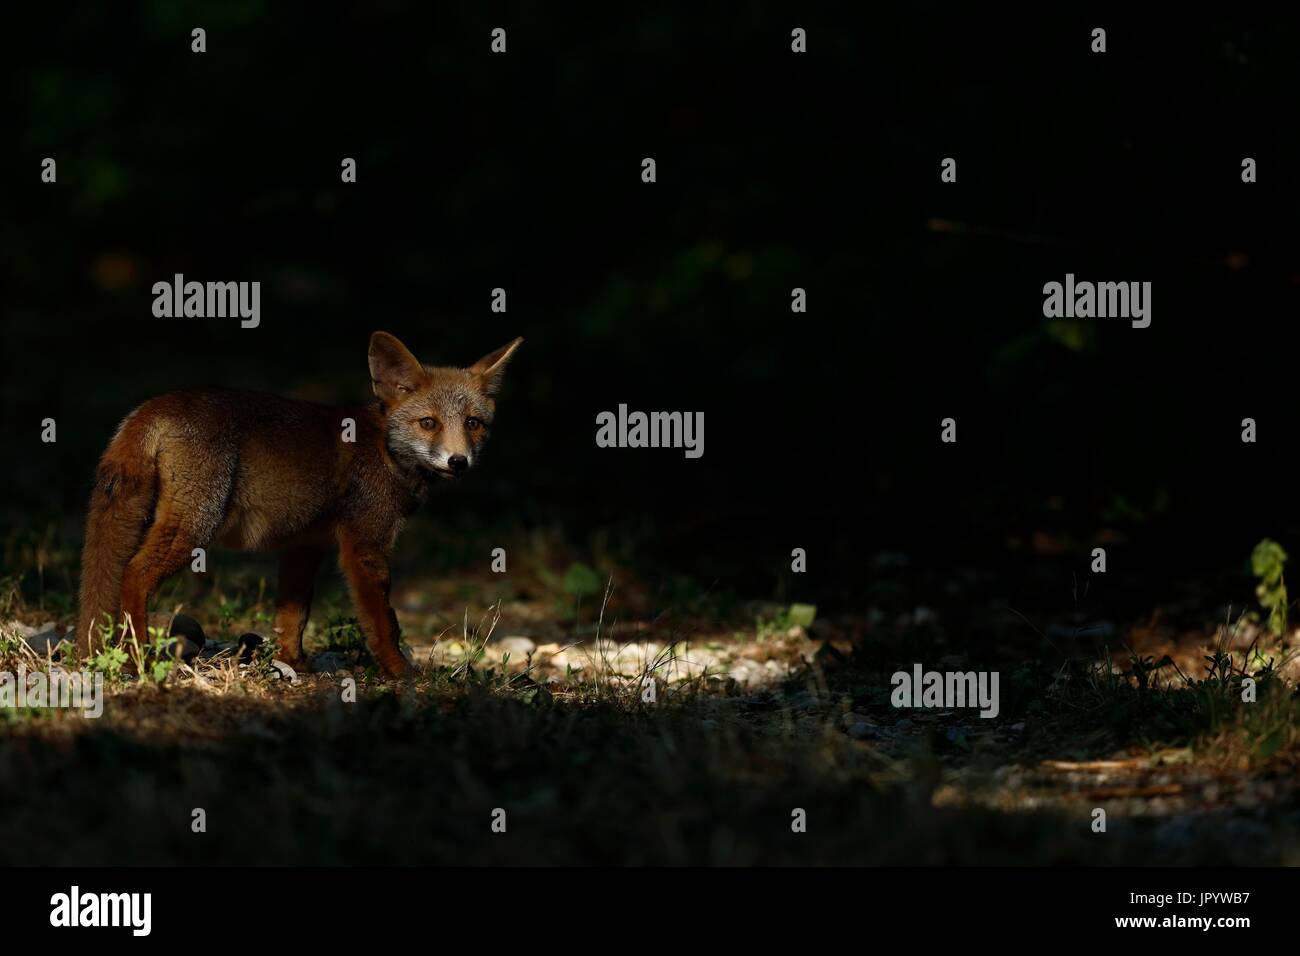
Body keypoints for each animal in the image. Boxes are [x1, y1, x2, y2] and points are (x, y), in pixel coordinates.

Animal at [75, 331, 522, 678]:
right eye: (428, 423)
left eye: (473, 424)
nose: (458, 462)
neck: (384, 449)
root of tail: (155, 404)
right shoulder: (363, 548)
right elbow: (385, 624)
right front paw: (401, 672)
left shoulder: (305, 546)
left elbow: (293, 615)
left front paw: (293, 664)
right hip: (195, 526)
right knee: (134, 574)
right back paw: (138, 659)